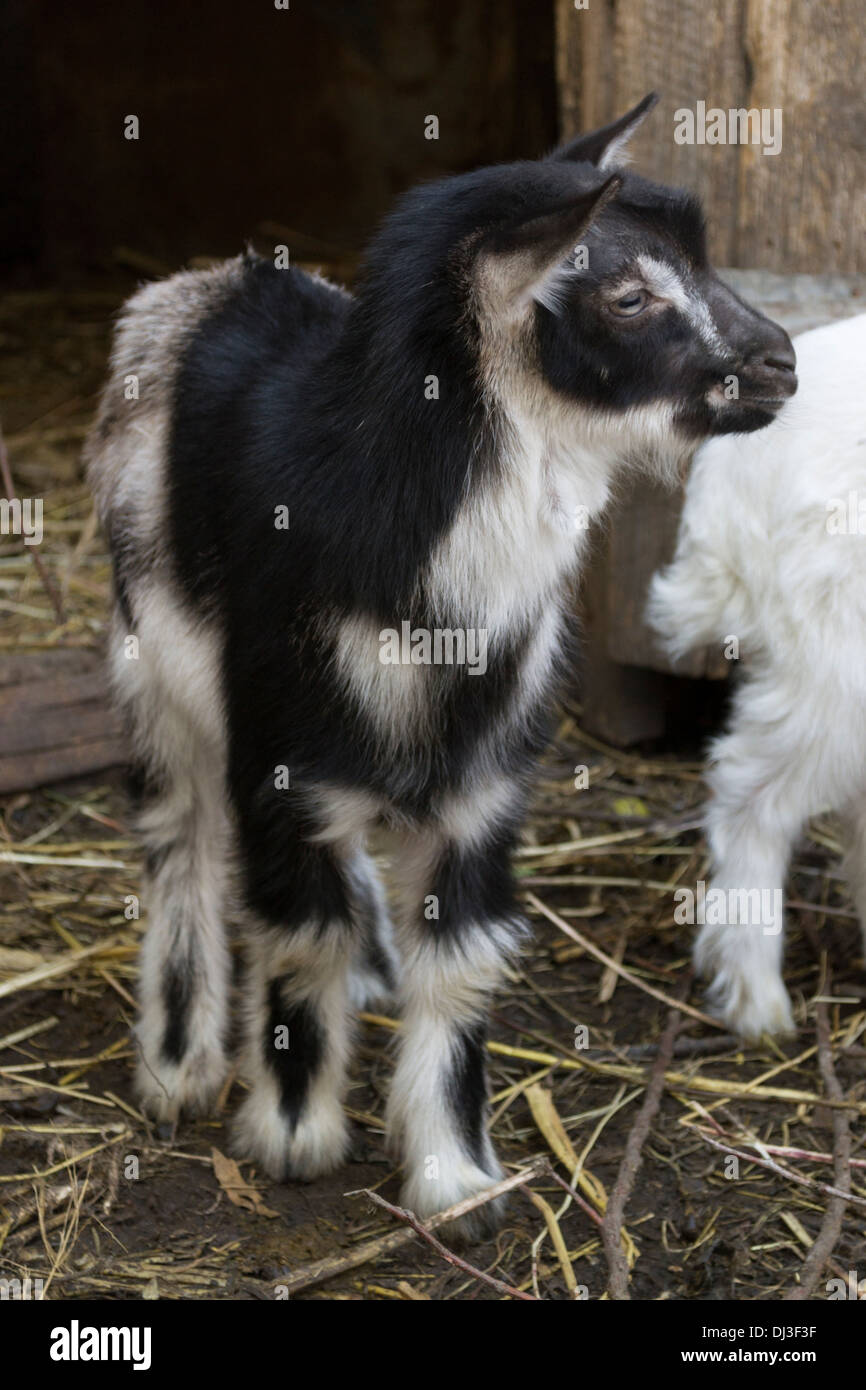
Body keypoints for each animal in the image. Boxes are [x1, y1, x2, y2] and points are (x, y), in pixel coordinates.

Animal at [85, 93, 796, 1237]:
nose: (781, 364)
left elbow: (459, 962)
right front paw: (293, 1136)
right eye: (626, 294)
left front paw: (456, 1179)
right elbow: (300, 936)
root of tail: (216, 278)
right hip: (153, 663)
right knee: (182, 836)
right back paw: (180, 1062)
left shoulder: (487, 779)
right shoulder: (284, 756)